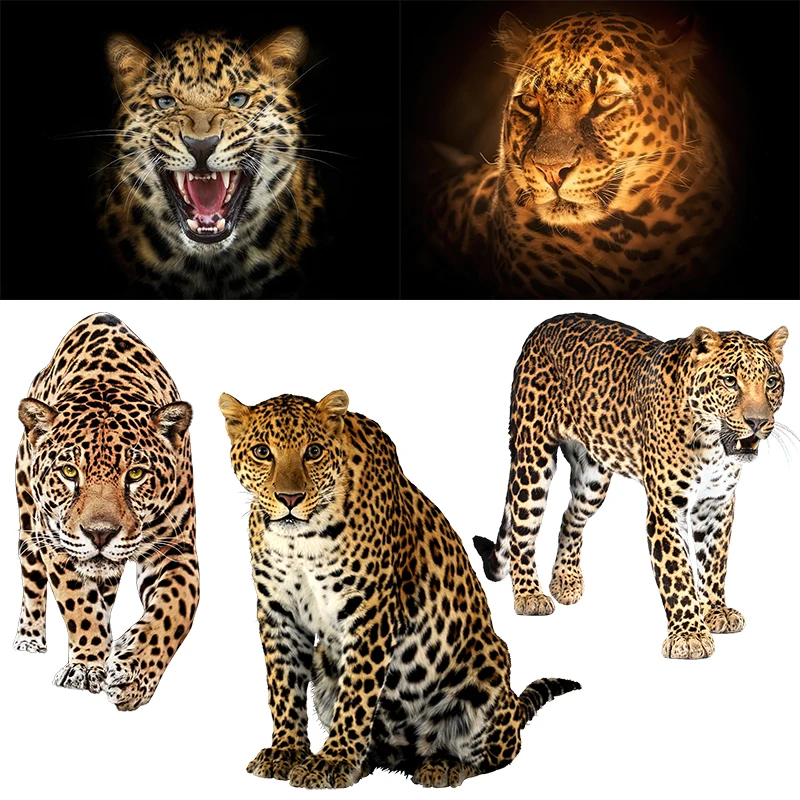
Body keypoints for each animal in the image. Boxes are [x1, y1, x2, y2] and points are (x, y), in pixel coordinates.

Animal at [14, 313, 199, 710]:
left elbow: (173, 611)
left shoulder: (177, 550)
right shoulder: (57, 542)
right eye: (70, 472)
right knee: (33, 582)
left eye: (136, 474)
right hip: (27, 527)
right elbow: (79, 604)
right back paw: (30, 638)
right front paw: (86, 666)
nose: (100, 534)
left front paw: (134, 675)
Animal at [219, 389, 579, 788]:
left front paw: (332, 760)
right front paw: (287, 752)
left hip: (488, 667)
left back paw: (443, 764)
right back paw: (367, 761)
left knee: (497, 753)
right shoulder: (278, 611)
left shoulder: (370, 610)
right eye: (262, 452)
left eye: (313, 451)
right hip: (324, 668)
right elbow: (283, 686)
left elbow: (356, 694)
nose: (290, 498)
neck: (301, 541)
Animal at [474, 313, 788, 660]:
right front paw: (688, 636)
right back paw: (529, 594)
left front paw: (716, 611)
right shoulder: (666, 510)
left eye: (771, 382)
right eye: (730, 381)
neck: (712, 444)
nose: (757, 422)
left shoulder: (716, 505)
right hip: (533, 457)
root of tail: (543, 325)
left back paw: (566, 580)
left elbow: (715, 562)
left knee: (569, 517)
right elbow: (678, 574)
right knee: (522, 527)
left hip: (592, 478)